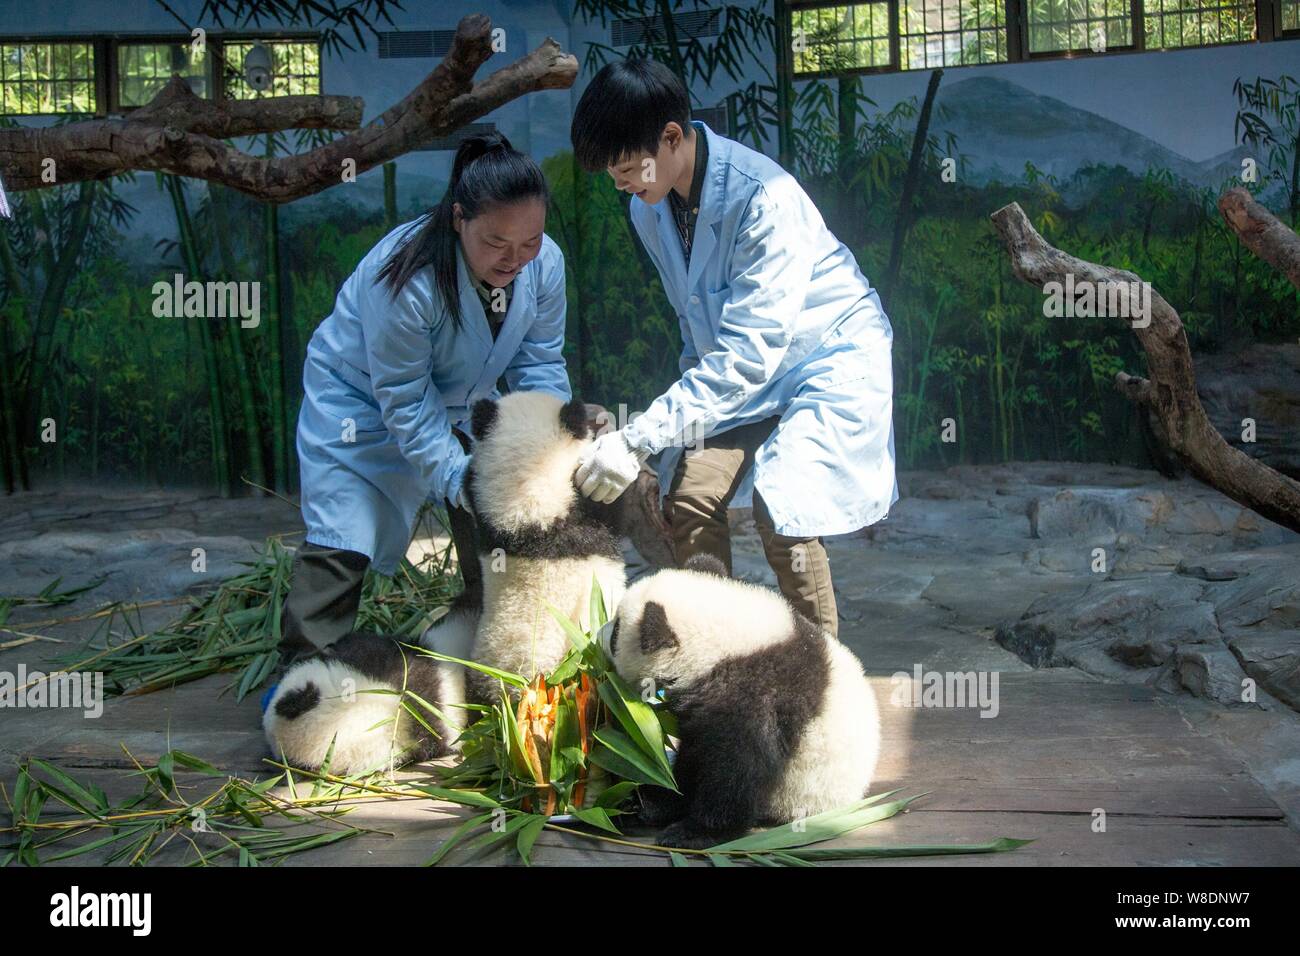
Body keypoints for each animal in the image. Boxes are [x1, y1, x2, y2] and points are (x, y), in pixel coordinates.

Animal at [599, 553, 880, 849]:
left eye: (616, 629)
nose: (596, 635)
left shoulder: (752, 694)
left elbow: (738, 765)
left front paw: (694, 832)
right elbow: (693, 754)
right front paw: (656, 802)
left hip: (800, 789)